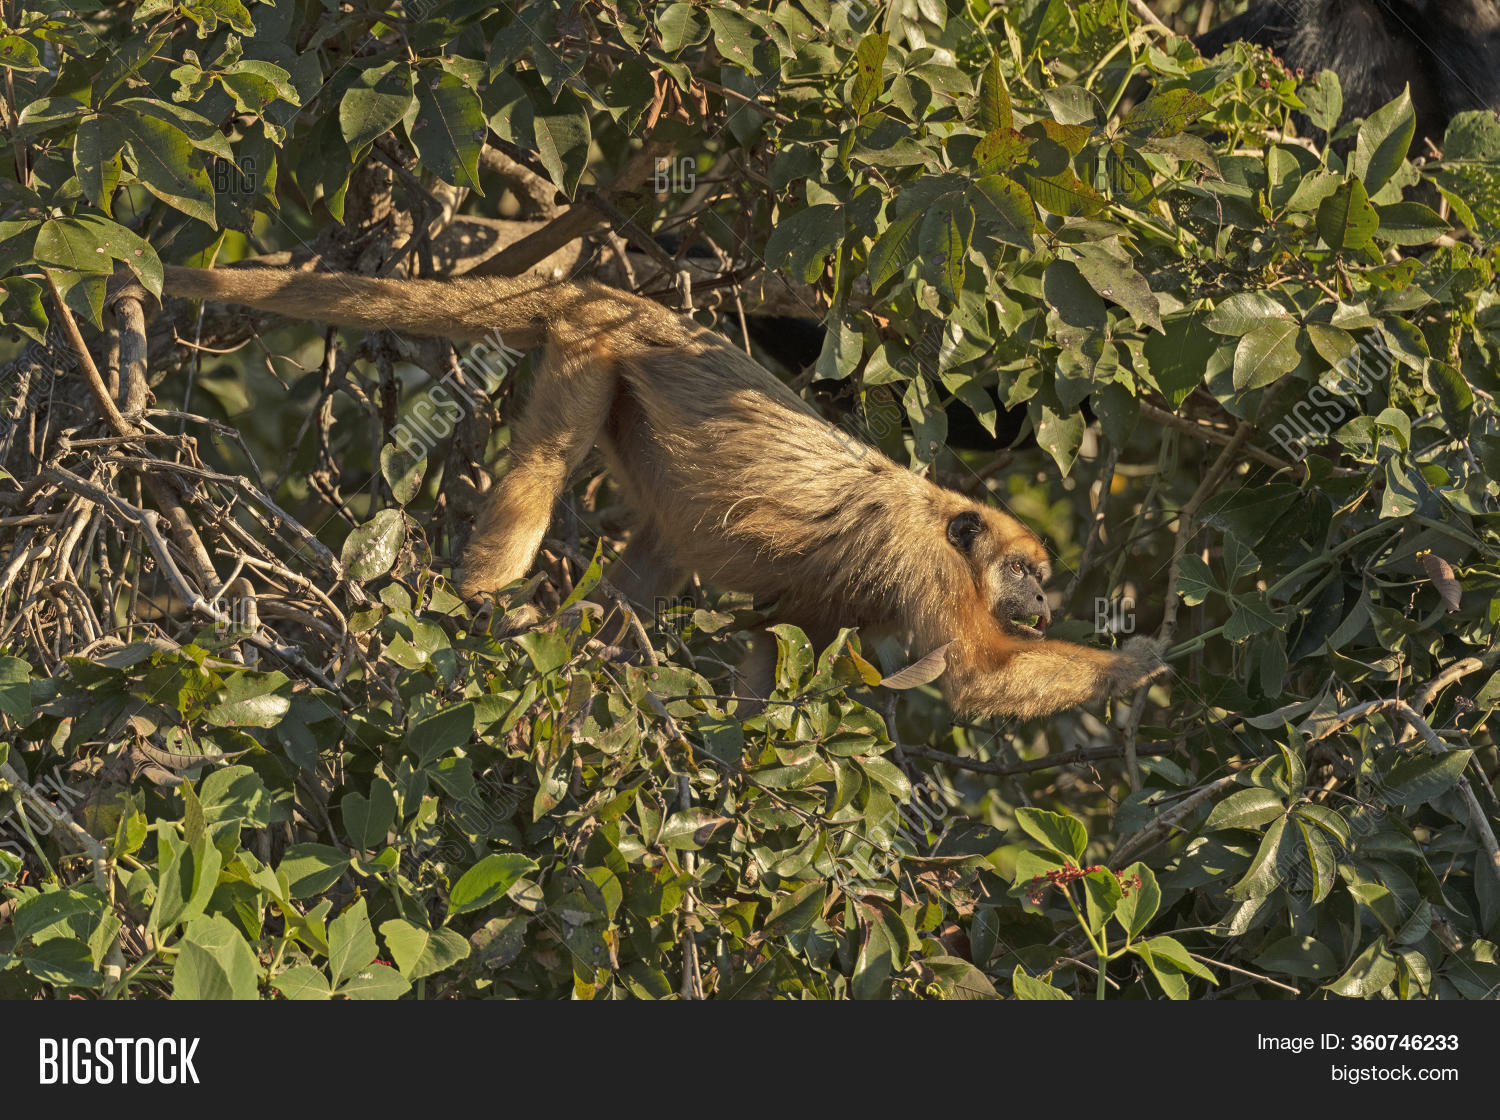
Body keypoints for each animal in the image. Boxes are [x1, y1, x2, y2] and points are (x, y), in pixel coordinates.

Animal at [157, 264, 1167, 721]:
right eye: (1024, 574)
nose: (1044, 602)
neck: (943, 522)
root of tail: (628, 301)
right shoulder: (924, 564)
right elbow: (974, 674)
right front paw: (1143, 662)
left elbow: (776, 638)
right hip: (594, 350)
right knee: (545, 463)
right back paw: (481, 610)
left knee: (658, 558)